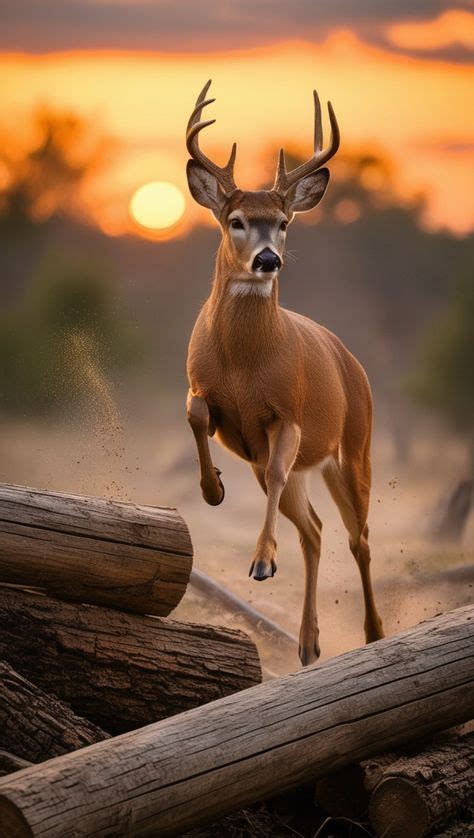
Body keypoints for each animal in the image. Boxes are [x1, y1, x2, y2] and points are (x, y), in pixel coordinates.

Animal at [185, 80, 384, 666]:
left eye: (284, 222)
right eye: (236, 221)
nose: (268, 259)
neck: (243, 366)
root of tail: (353, 363)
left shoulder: (286, 417)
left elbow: (274, 476)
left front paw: (261, 562)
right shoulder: (214, 401)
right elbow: (197, 415)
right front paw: (212, 489)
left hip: (354, 448)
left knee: (359, 537)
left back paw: (372, 632)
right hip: (306, 465)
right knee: (315, 530)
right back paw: (308, 643)